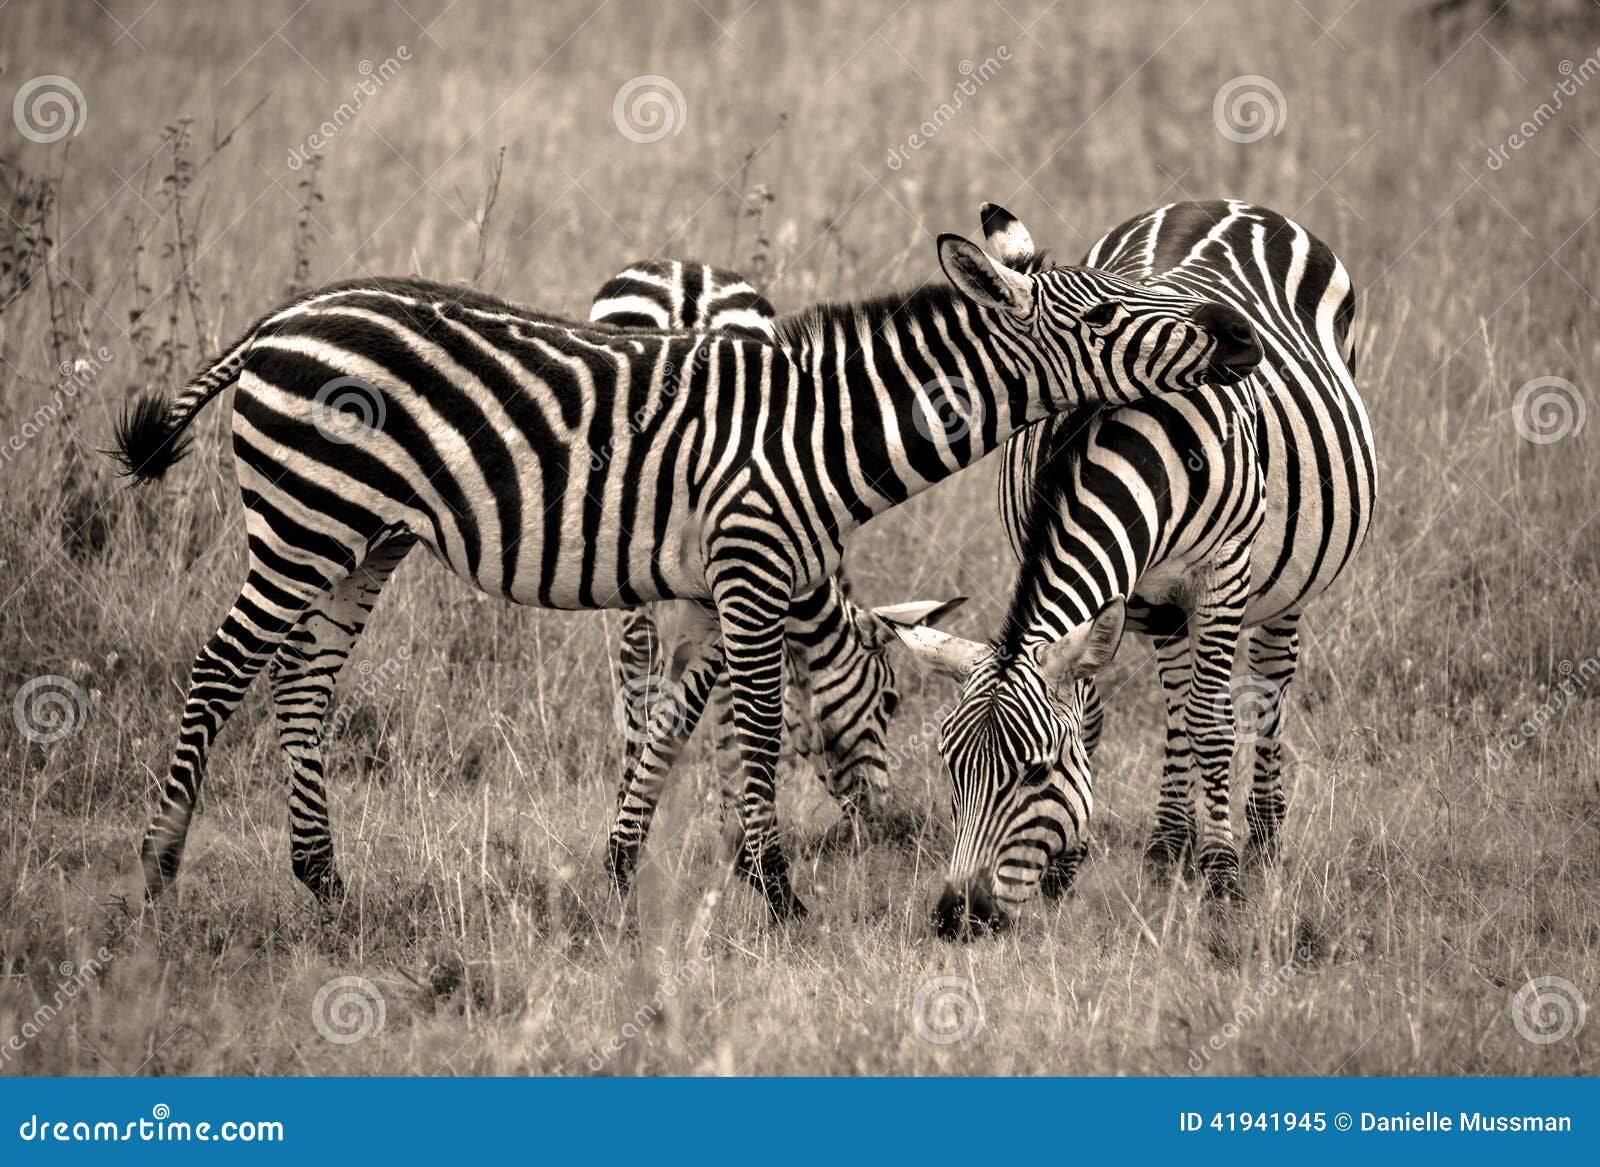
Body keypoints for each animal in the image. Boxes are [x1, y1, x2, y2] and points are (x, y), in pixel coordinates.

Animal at [892, 200, 1374, 937]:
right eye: (949, 765)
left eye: (1036, 773)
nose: (958, 919)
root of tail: (1222, 203)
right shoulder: (1091, 574)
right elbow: (1097, 718)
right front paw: (1068, 870)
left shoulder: (1223, 572)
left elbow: (1213, 724)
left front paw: (1223, 880)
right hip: (1157, 596)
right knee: (1177, 693)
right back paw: (1167, 845)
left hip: (1283, 584)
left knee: (1265, 684)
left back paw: (1261, 839)